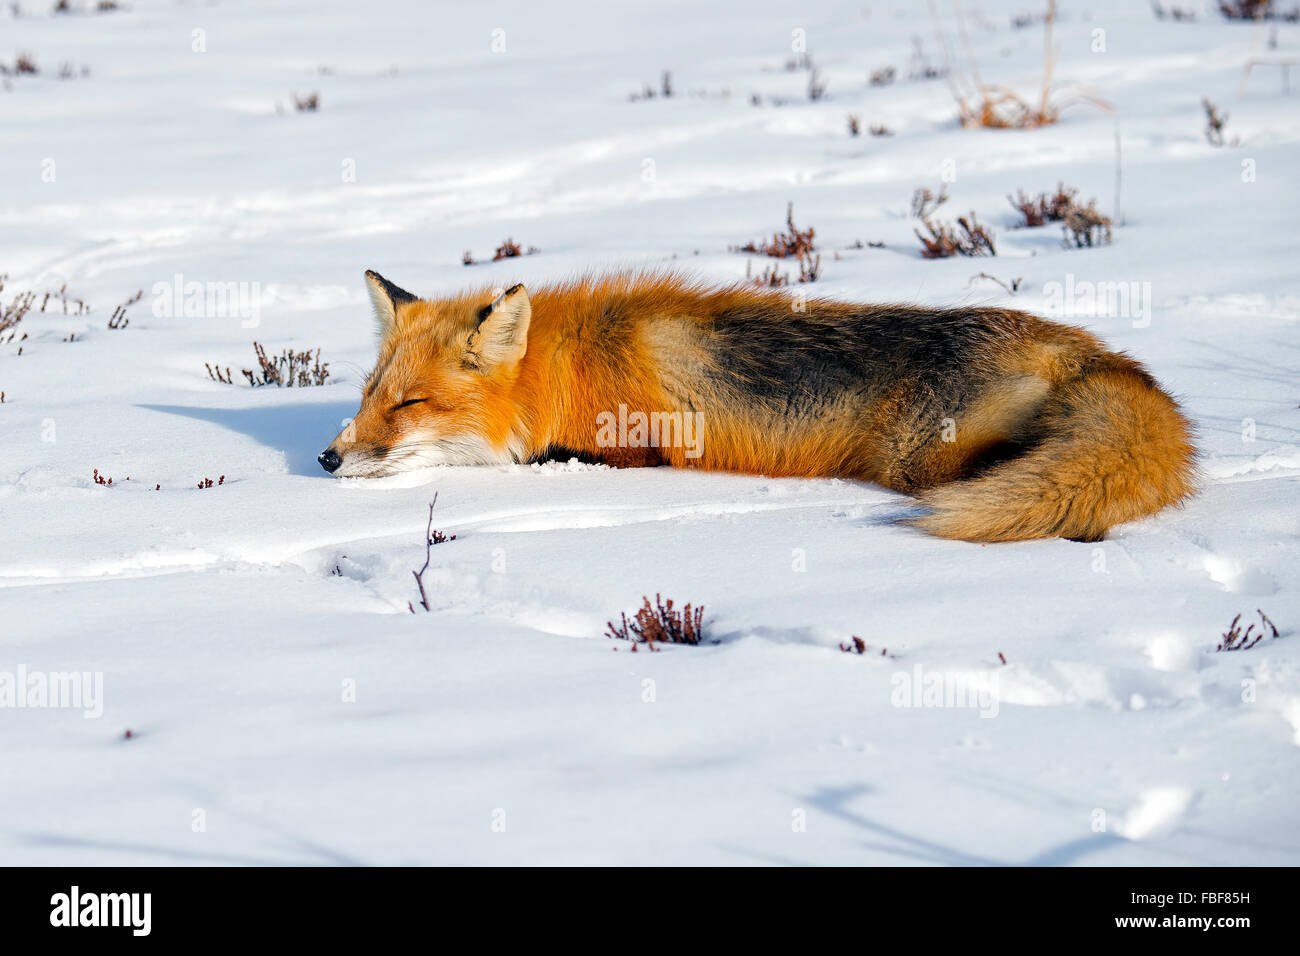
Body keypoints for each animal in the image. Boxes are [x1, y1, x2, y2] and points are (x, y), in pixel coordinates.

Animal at [319, 270, 1196, 542]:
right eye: (368, 397)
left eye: (410, 404)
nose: (327, 458)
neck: (563, 369)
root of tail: (1091, 348)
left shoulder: (640, 445)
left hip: (922, 459)